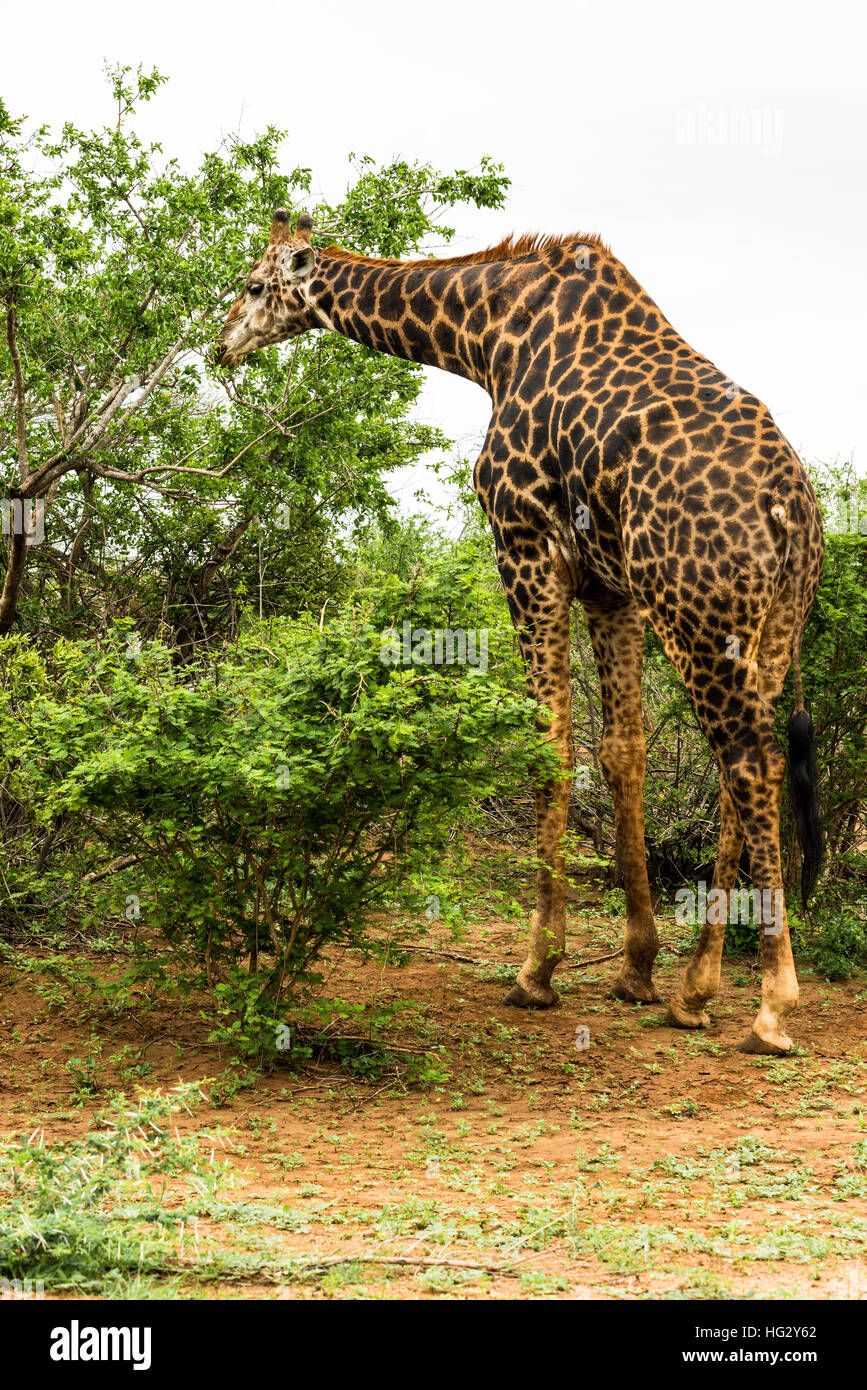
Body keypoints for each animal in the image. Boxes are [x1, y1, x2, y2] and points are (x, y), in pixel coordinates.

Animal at [217, 210, 824, 1057]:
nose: (220, 344)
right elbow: (622, 753)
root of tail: (788, 507)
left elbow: (549, 744)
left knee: (748, 763)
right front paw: (635, 969)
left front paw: (536, 970)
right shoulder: (608, 586)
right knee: (747, 768)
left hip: (697, 616)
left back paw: (770, 1006)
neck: (486, 339)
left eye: (251, 284)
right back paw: (693, 991)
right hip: (768, 625)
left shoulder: (523, 544)